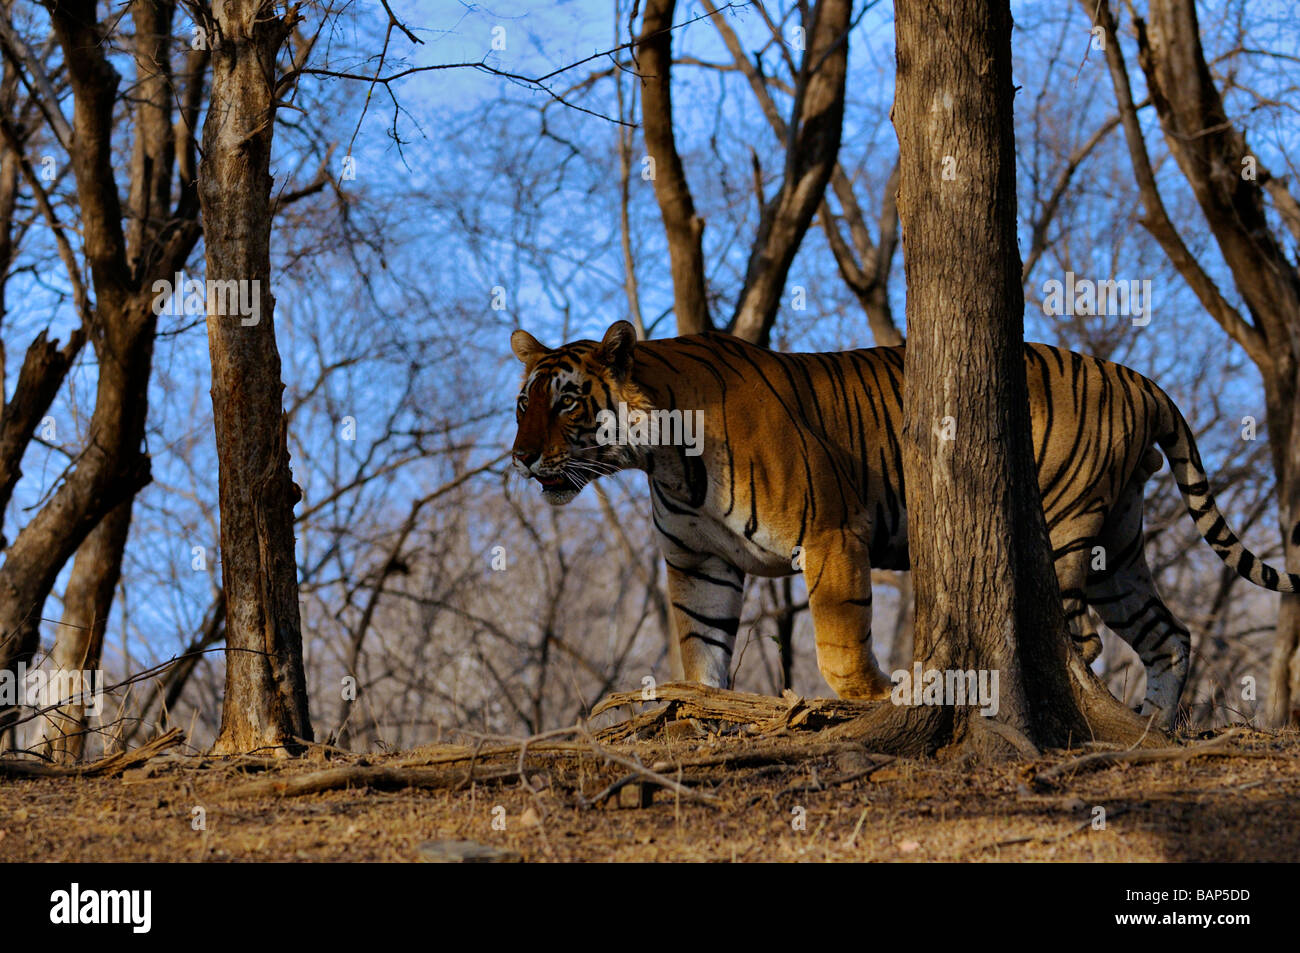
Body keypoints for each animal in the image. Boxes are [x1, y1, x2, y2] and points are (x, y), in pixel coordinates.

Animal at [509, 320, 1300, 726]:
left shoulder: (829, 534)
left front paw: (875, 699)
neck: (663, 458)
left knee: (1083, 641)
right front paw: (696, 706)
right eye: (524, 403)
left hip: (1069, 528)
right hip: (1120, 547)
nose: (519, 457)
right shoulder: (700, 562)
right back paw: (1151, 729)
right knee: (1169, 635)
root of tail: (1139, 378)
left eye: (569, 401)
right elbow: (700, 649)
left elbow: (837, 643)